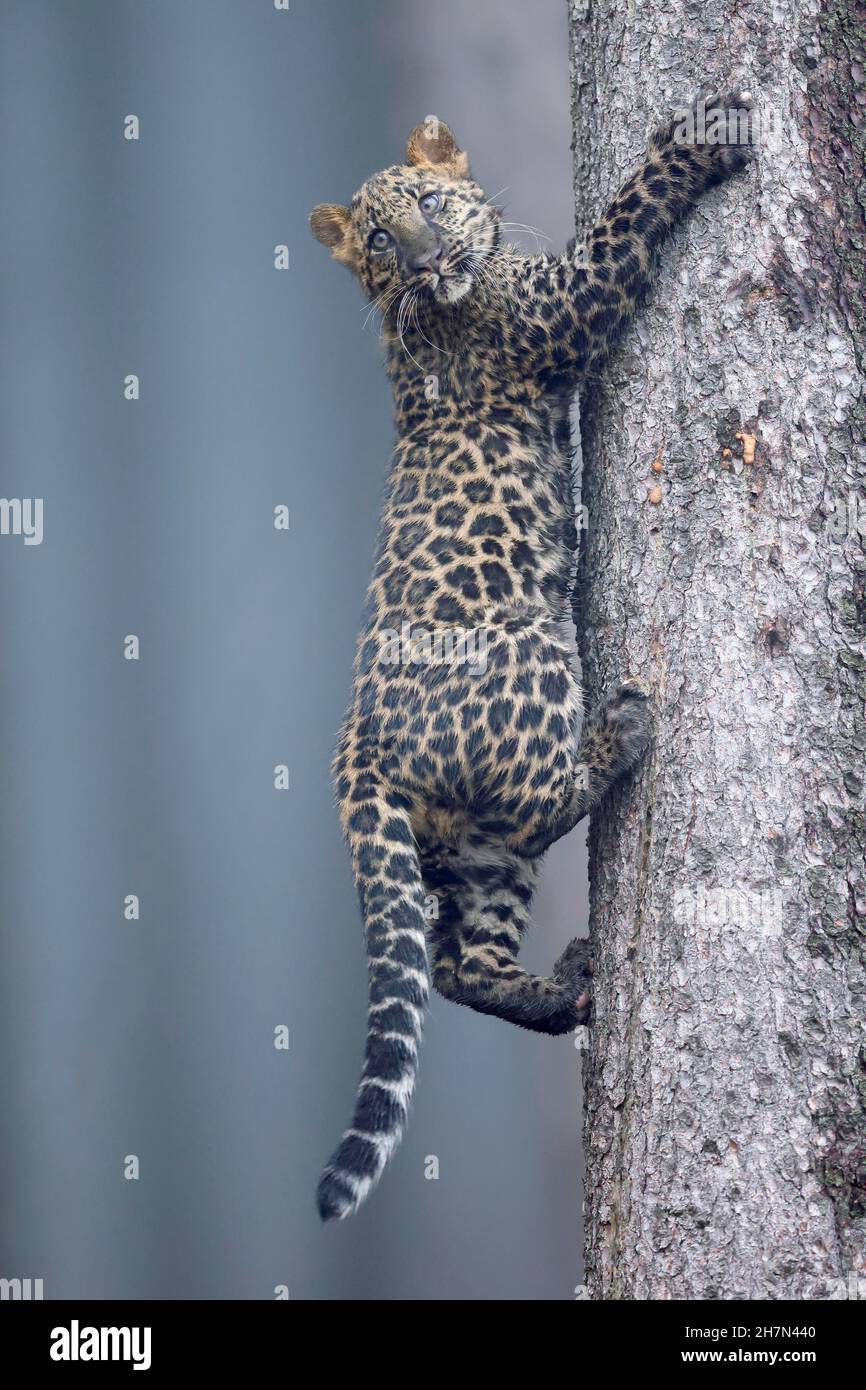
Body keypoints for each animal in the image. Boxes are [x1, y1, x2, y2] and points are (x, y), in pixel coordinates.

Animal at [309, 94, 755, 1221]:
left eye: (426, 206)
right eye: (381, 241)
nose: (429, 261)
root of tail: (353, 747)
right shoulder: (570, 301)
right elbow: (628, 208)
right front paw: (704, 132)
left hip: (460, 854)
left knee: (460, 966)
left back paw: (558, 992)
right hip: (531, 656)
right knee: (540, 803)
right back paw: (623, 732)